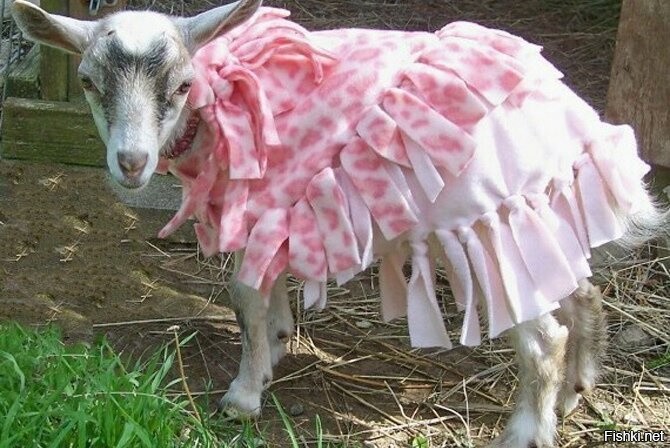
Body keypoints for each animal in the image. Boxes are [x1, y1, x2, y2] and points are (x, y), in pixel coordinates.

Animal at [11, 1, 668, 446]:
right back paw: (578, 387)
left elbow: (244, 292)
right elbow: (263, 288)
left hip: (492, 221)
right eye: (89, 84)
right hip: (537, 219)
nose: (130, 163)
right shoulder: (272, 209)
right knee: (582, 293)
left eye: (181, 85)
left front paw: (242, 396)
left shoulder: (270, 198)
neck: (221, 101)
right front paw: (276, 346)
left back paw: (528, 430)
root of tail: (574, 119)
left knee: (544, 337)